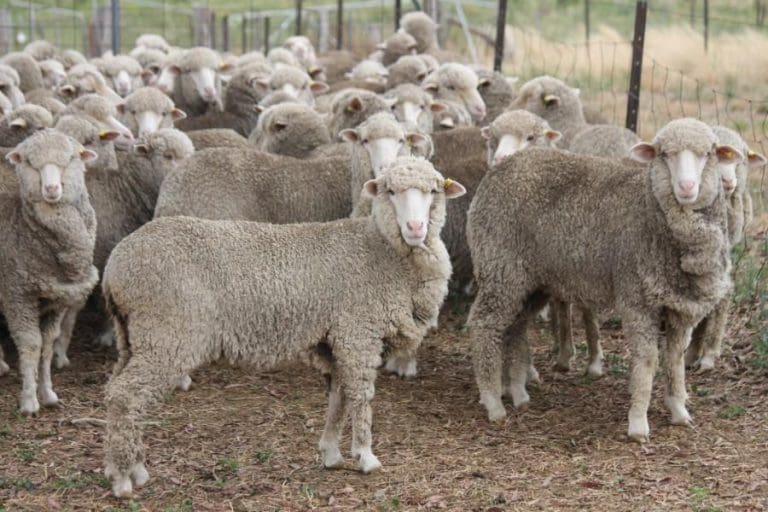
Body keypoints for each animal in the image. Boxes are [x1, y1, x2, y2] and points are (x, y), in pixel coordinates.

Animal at [1, 129, 99, 415]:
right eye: (31, 163)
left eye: (70, 159)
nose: (52, 189)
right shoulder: (17, 295)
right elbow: (31, 345)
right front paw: (29, 401)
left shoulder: (56, 300)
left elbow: (47, 344)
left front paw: (47, 394)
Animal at [102, 157, 464, 497]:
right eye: (390, 191)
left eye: (434, 191)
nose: (415, 227)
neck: (382, 249)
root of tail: (115, 266)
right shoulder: (358, 332)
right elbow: (360, 396)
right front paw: (365, 455)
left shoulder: (336, 339)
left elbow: (339, 396)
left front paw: (330, 453)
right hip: (168, 332)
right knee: (126, 396)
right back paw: (123, 479)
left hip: (134, 335)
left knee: (116, 392)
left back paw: (126, 467)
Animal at [468, 118, 736, 442]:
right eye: (663, 154)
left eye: (708, 154)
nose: (686, 187)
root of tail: (498, 169)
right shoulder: (637, 301)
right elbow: (647, 361)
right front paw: (638, 424)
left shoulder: (680, 308)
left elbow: (674, 359)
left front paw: (678, 410)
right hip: (500, 267)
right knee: (484, 325)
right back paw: (493, 401)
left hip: (531, 281)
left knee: (514, 326)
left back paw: (518, 392)